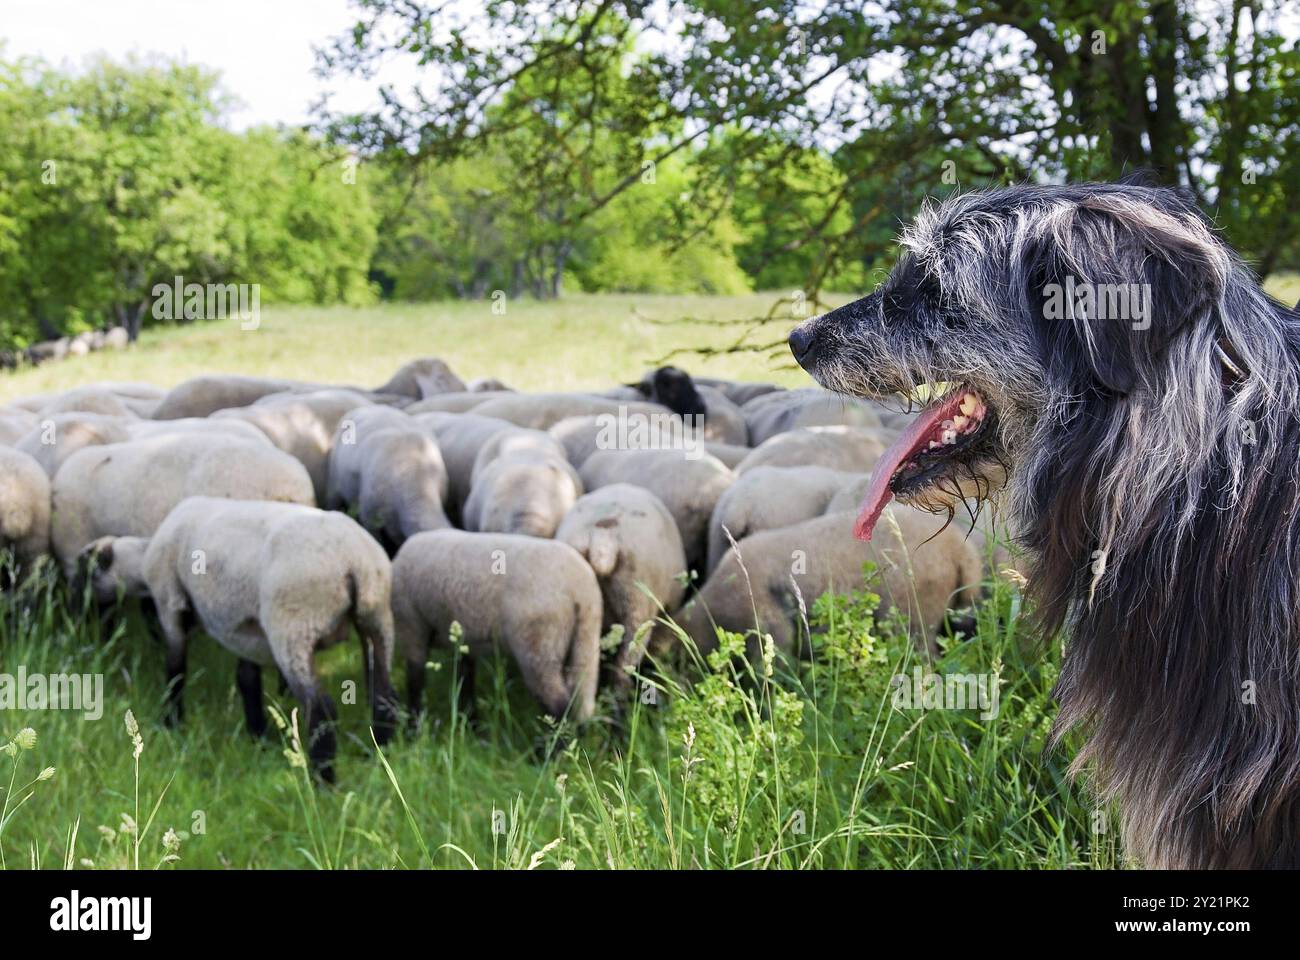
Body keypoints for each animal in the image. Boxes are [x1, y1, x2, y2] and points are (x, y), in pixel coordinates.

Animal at [76, 497, 398, 782]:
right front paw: (257, 733)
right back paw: (382, 753)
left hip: (294, 624)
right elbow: (247, 679)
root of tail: (355, 561)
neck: (143, 560)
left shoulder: (170, 603)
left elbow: (176, 670)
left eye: (88, 571)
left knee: (320, 708)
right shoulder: (244, 630)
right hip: (377, 618)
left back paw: (324, 780)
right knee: (384, 694)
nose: (77, 604)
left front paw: (171, 722)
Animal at [391, 529, 601, 724]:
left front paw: (414, 726)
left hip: (539, 645)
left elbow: (415, 682)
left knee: (559, 705)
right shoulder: (467, 640)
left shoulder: (411, 626)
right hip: (585, 638)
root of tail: (580, 590)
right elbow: (465, 678)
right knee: (579, 702)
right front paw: (469, 722)